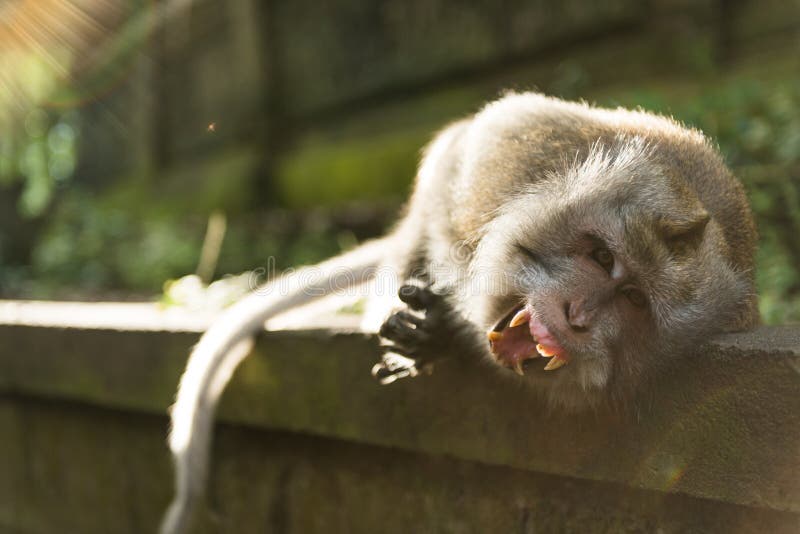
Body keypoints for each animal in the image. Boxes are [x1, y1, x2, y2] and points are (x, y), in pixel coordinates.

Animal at [160, 92, 758, 534]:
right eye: (602, 257)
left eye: (634, 300)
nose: (576, 314)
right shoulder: (508, 147)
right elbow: (470, 152)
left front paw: (444, 336)